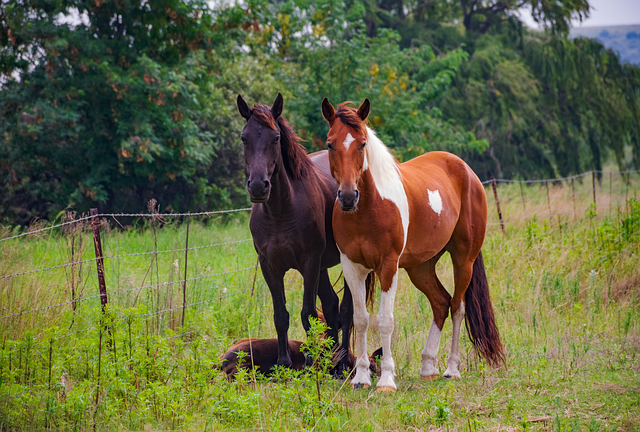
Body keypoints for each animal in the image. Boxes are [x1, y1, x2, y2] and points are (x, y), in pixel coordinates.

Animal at [236, 93, 357, 374]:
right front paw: (284, 364)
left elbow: (308, 313)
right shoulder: (269, 265)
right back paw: (331, 360)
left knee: (347, 310)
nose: (258, 186)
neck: (280, 211)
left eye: (276, 138)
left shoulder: (309, 263)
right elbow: (281, 314)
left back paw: (342, 362)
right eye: (244, 137)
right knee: (332, 306)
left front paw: (311, 364)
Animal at [320, 98, 504, 392]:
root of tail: (467, 171)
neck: (368, 209)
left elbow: (385, 321)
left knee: (458, 307)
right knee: (441, 303)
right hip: (421, 267)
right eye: (329, 143)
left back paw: (452, 369)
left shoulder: (388, 266)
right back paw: (428, 366)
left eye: (362, 144)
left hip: (463, 259)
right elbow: (360, 320)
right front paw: (361, 378)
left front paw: (386, 380)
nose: (348, 197)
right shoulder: (352, 267)